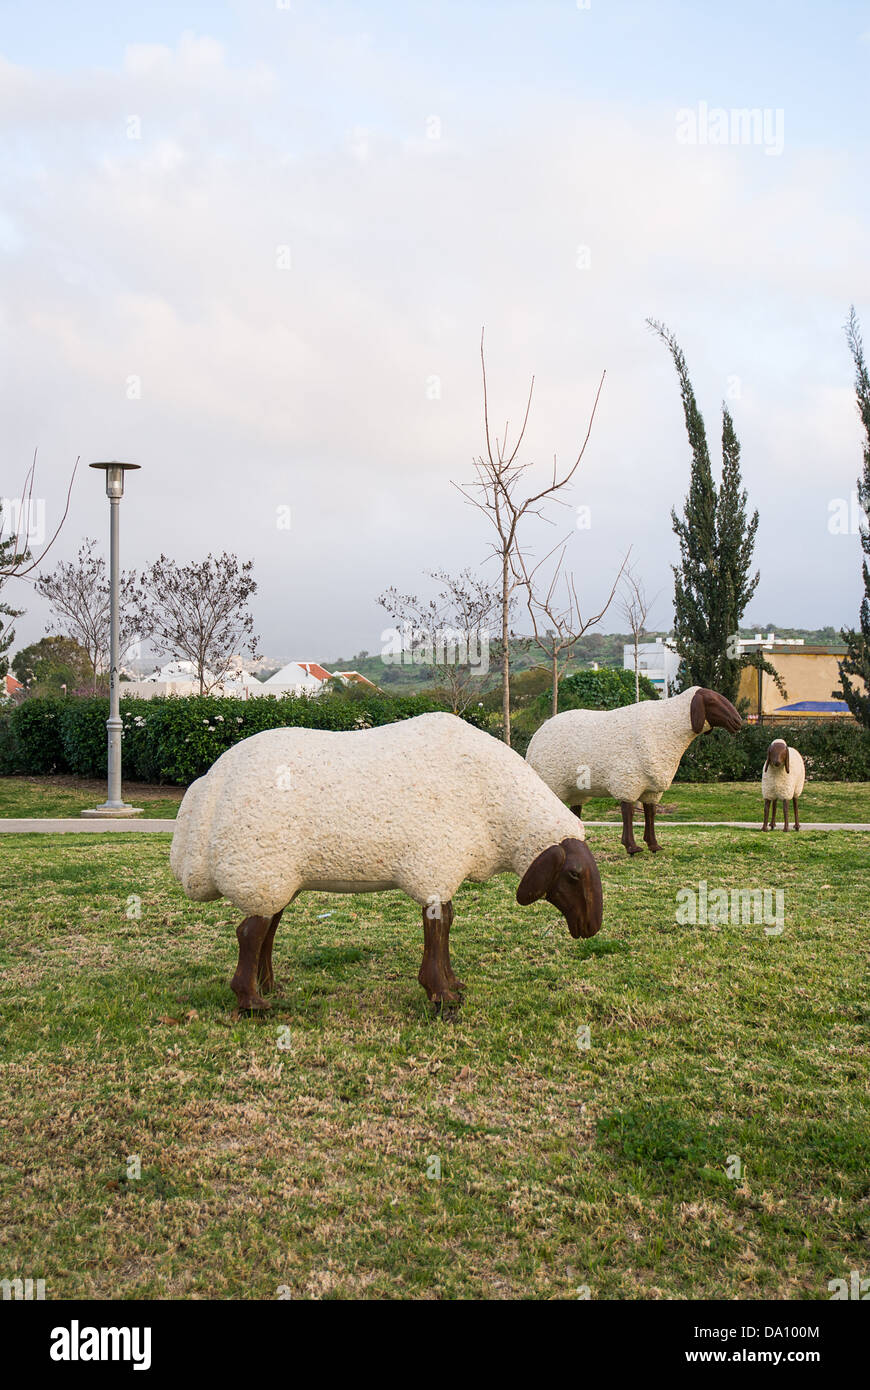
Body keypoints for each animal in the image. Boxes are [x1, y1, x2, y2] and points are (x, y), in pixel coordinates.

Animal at [170, 711, 603, 1011]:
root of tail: (212, 782)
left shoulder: (442, 871)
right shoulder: (432, 867)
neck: (497, 810)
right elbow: (436, 929)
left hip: (274, 875)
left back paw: (269, 986)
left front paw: (452, 984)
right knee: (249, 933)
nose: (591, 928)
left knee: (267, 928)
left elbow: (447, 923)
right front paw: (439, 995)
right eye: (574, 874)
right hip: (257, 866)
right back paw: (252, 1002)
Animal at [526, 686, 742, 856]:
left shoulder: (652, 788)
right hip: (551, 781)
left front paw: (654, 845)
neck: (670, 727)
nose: (738, 721)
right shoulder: (627, 781)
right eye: (712, 700)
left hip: (576, 789)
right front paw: (631, 847)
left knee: (575, 810)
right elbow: (628, 811)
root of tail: (537, 734)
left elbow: (650, 812)